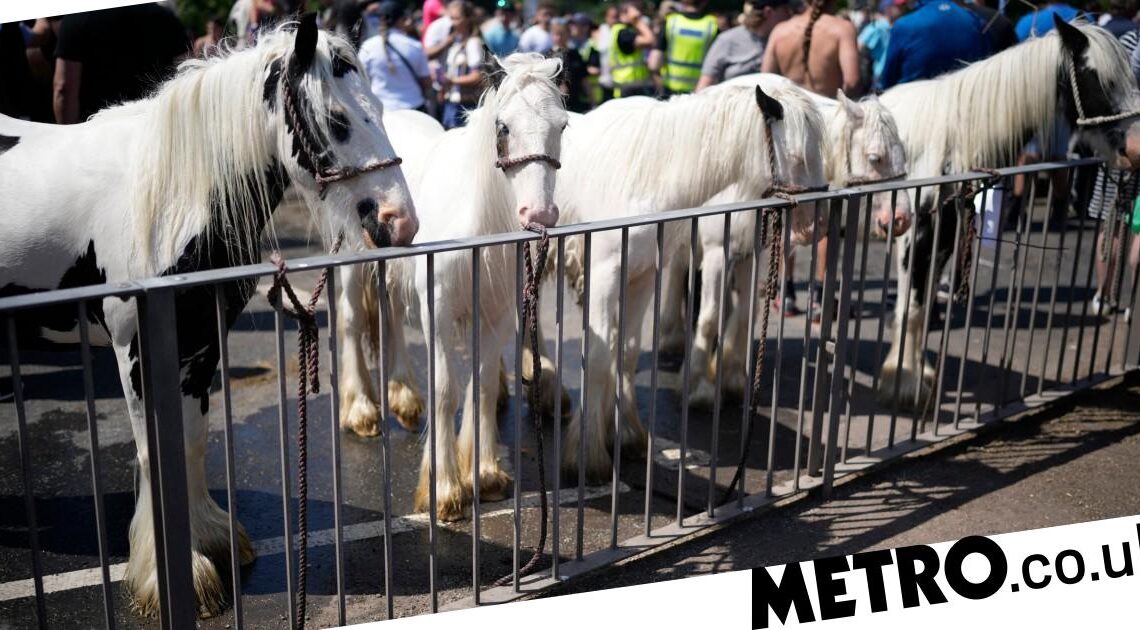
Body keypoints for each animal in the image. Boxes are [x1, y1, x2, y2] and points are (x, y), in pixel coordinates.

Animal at [0, 15, 419, 619]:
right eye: (337, 121)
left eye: (381, 110)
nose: (400, 221)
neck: (169, 196)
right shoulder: (136, 353)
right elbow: (156, 454)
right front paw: (173, 577)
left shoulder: (199, 347)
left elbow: (191, 443)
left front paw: (212, 541)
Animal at [332, 52, 570, 521]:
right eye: (504, 127)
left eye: (563, 125)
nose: (540, 214)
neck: (478, 223)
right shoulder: (437, 311)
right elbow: (446, 390)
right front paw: (444, 489)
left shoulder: (497, 316)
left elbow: (484, 386)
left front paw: (485, 474)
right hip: (355, 262)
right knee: (351, 321)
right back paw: (363, 411)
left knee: (388, 314)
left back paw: (403, 397)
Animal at [661, 75, 907, 398]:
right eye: (875, 158)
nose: (902, 218)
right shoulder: (717, 253)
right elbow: (710, 317)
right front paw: (699, 385)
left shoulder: (754, 254)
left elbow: (746, 313)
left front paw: (731, 374)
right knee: (677, 271)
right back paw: (672, 338)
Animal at [870, 18, 1140, 407]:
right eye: (1097, 77)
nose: (1133, 148)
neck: (945, 143)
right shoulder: (915, 236)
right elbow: (912, 305)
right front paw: (902, 382)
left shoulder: (944, 237)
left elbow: (923, 304)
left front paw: (920, 373)